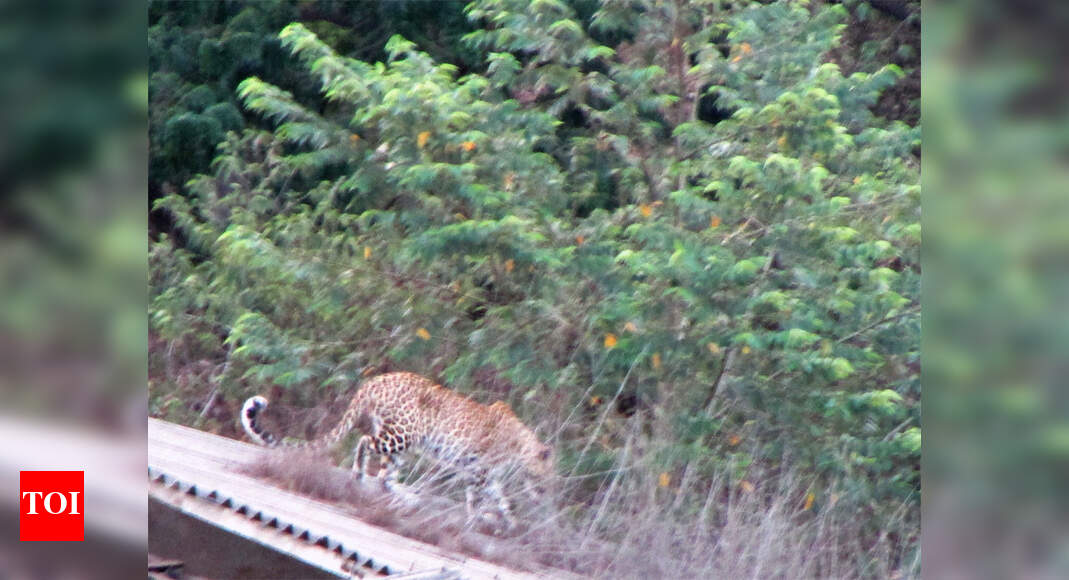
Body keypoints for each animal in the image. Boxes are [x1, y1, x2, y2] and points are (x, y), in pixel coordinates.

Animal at [240, 372, 555, 529]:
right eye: (546, 477)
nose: (545, 493)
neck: (520, 444)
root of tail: (377, 379)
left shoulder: (487, 474)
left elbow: (499, 498)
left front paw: (509, 520)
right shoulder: (479, 470)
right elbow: (477, 497)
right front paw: (478, 517)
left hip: (401, 444)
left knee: (385, 477)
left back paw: (406, 496)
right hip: (402, 434)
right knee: (365, 443)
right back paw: (358, 474)